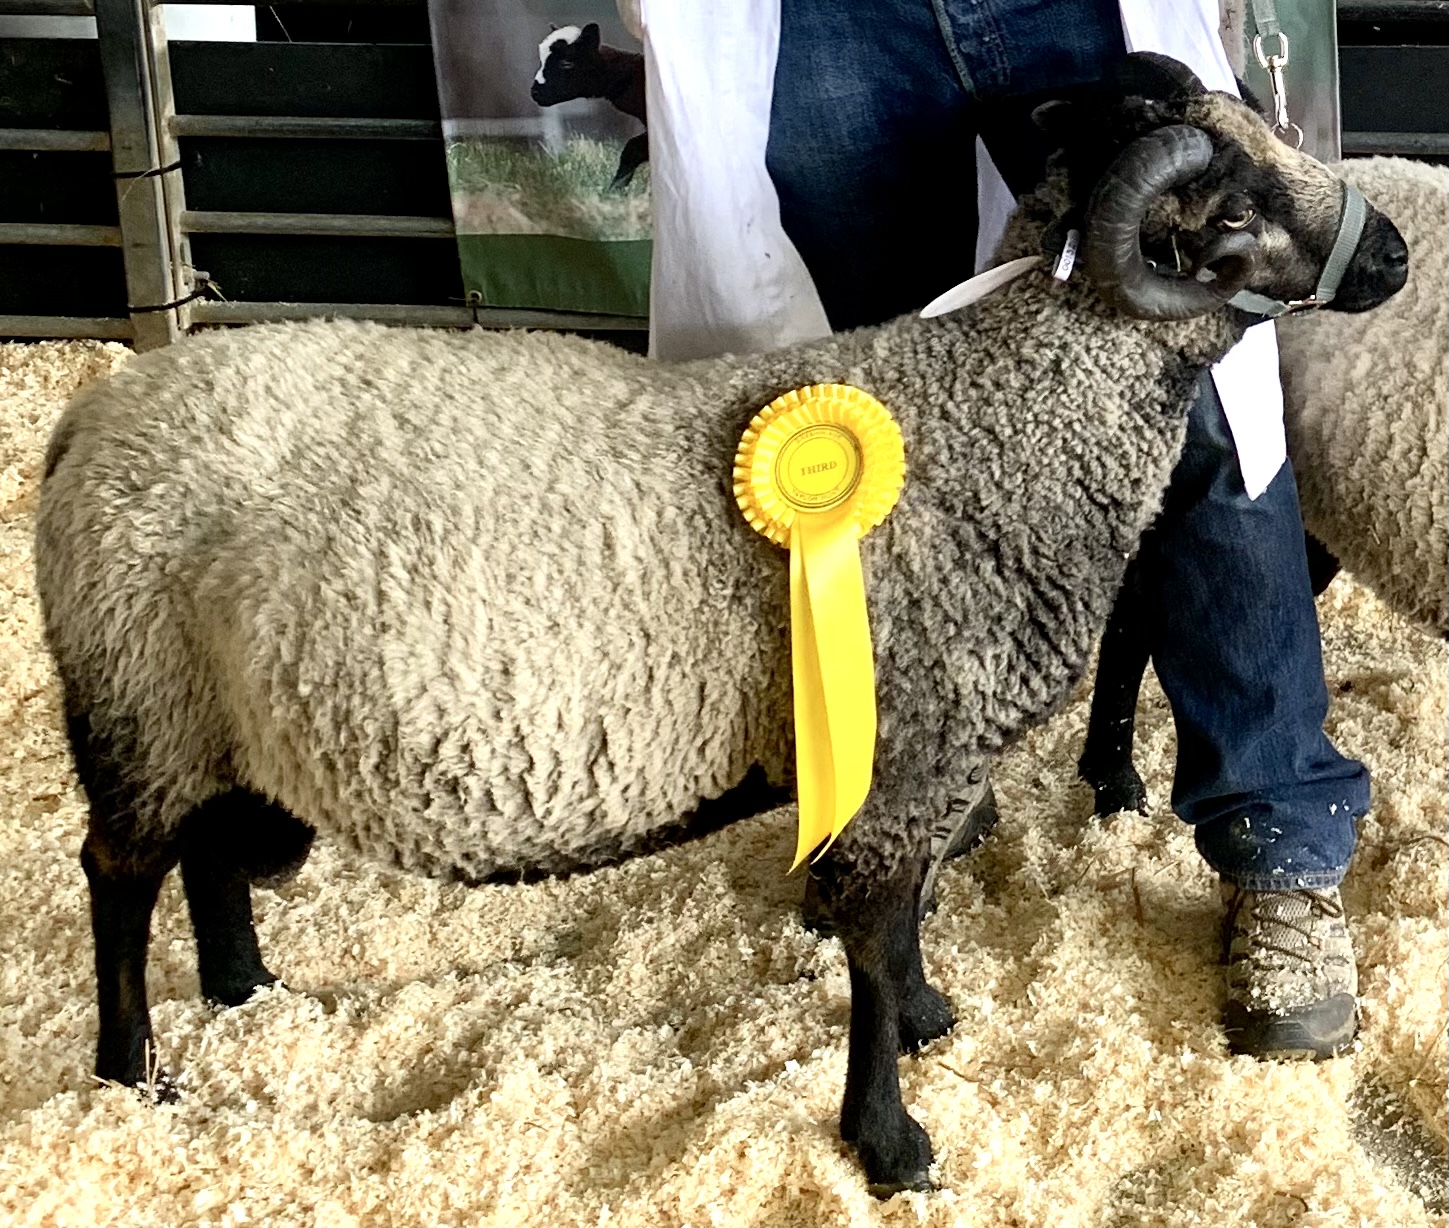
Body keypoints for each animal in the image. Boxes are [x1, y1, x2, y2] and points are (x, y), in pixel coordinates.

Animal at [33, 54, 1408, 1196]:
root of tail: (88, 422)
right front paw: (890, 1138)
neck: (1001, 407)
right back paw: (135, 1063)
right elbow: (870, 936)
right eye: (1228, 217)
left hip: (211, 718)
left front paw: (926, 1019)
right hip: (137, 700)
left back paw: (241, 986)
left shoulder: (922, 763)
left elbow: (906, 920)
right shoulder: (905, 754)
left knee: (208, 850)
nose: (1392, 253)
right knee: (117, 872)